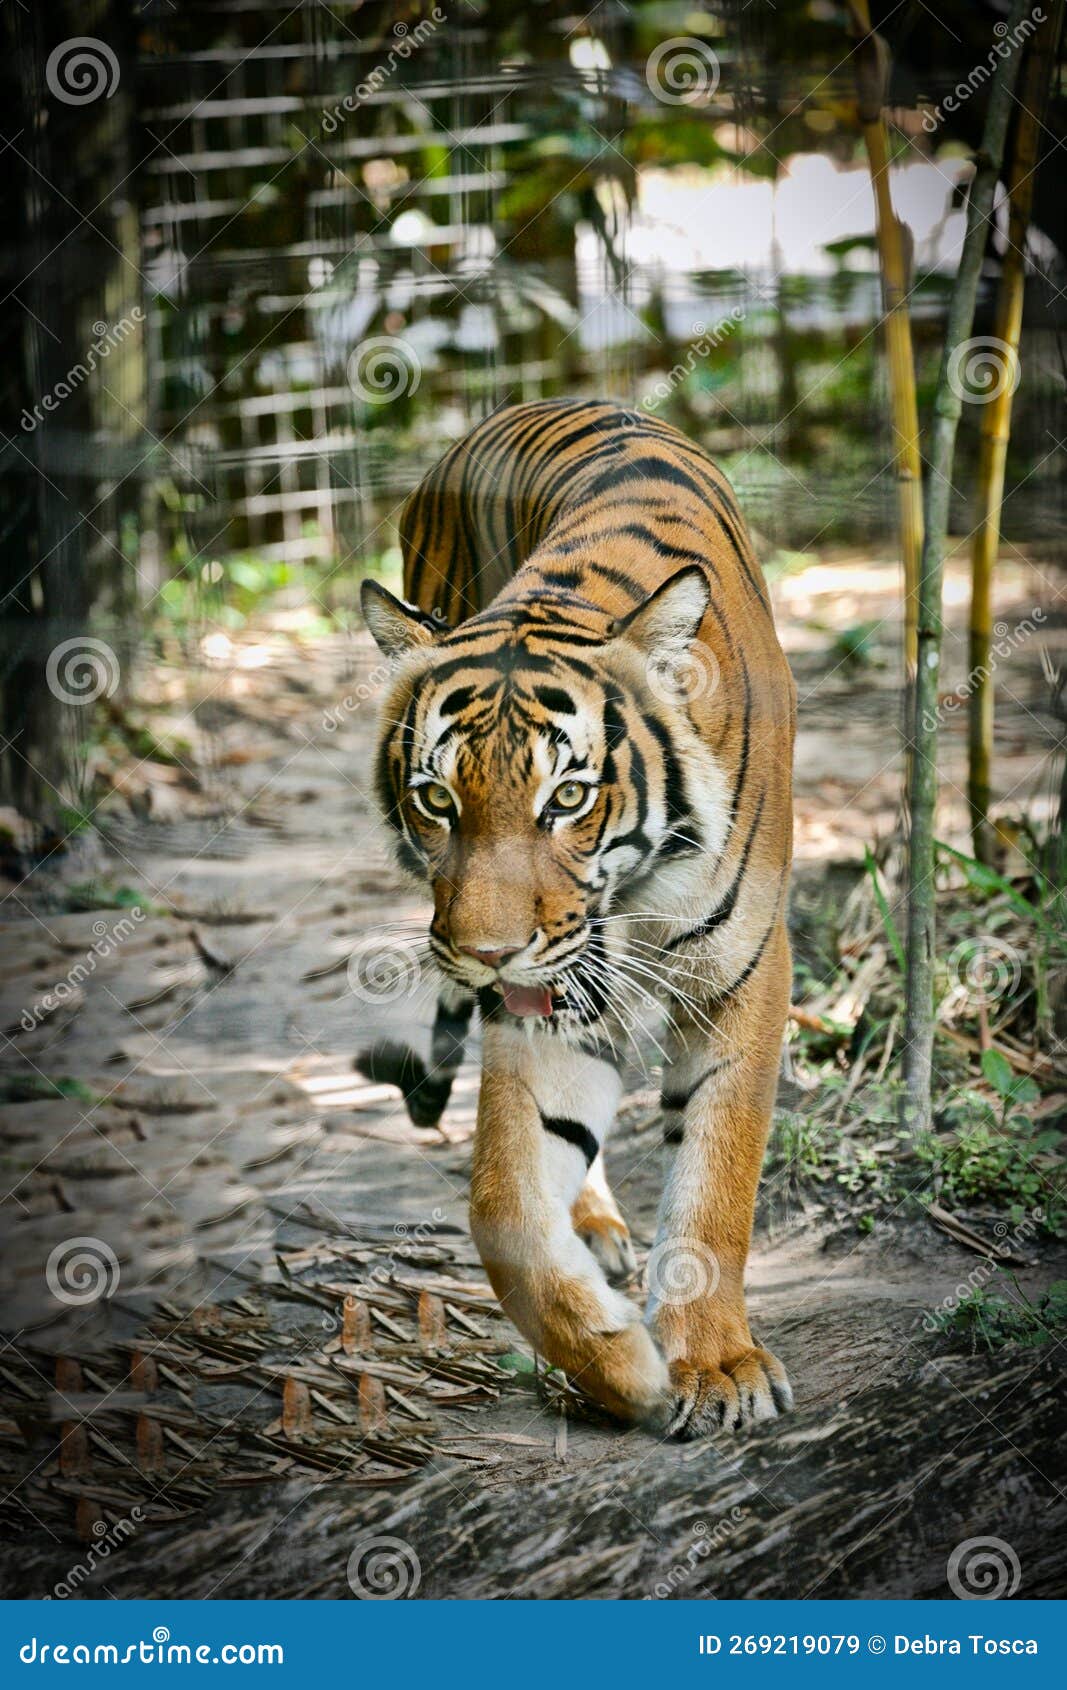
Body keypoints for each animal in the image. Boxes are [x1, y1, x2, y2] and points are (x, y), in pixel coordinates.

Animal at [359, 397, 795, 1436]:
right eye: (437, 800)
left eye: (566, 799)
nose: (483, 954)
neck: (631, 897)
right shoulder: (550, 993)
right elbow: (503, 1206)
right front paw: (621, 1365)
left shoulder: (745, 968)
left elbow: (716, 1174)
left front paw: (716, 1367)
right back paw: (592, 1230)